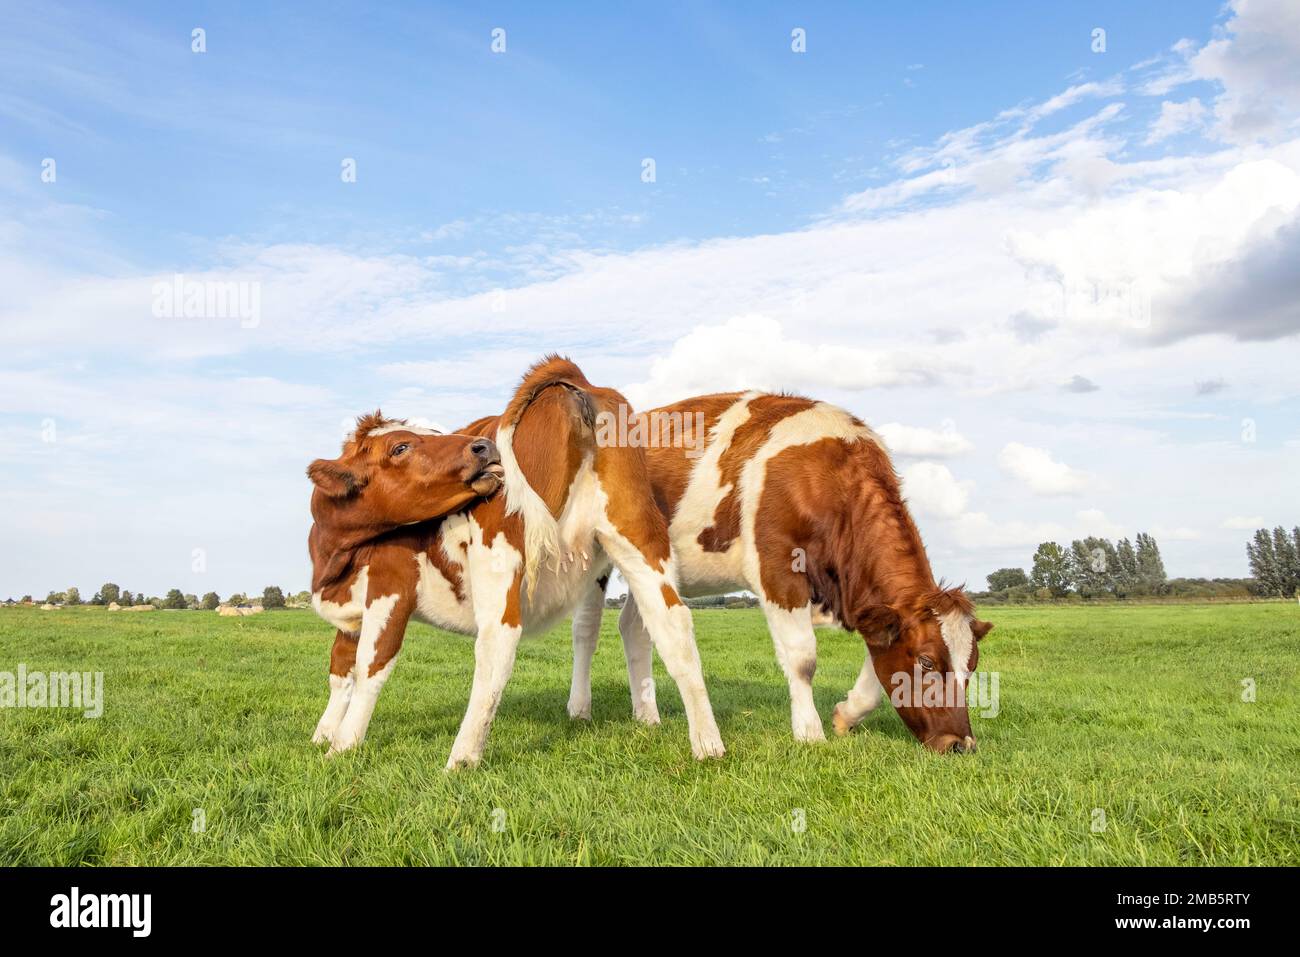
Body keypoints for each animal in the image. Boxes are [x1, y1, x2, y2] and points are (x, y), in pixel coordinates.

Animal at [306, 357, 724, 769]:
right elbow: (339, 669)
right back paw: (707, 743)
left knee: (497, 645)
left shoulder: (390, 587)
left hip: (499, 555)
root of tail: (576, 386)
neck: (335, 560)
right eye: (401, 447)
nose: (482, 447)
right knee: (672, 625)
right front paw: (323, 732)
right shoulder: (351, 612)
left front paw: (342, 745)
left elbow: (371, 666)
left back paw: (463, 757)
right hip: (637, 538)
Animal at [567, 391, 993, 754]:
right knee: (587, 629)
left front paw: (846, 714)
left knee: (636, 628)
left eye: (972, 666)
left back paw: (647, 716)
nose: (961, 744)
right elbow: (803, 658)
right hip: (598, 554)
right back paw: (580, 708)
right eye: (927, 662)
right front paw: (810, 732)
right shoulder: (777, 569)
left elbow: (876, 663)